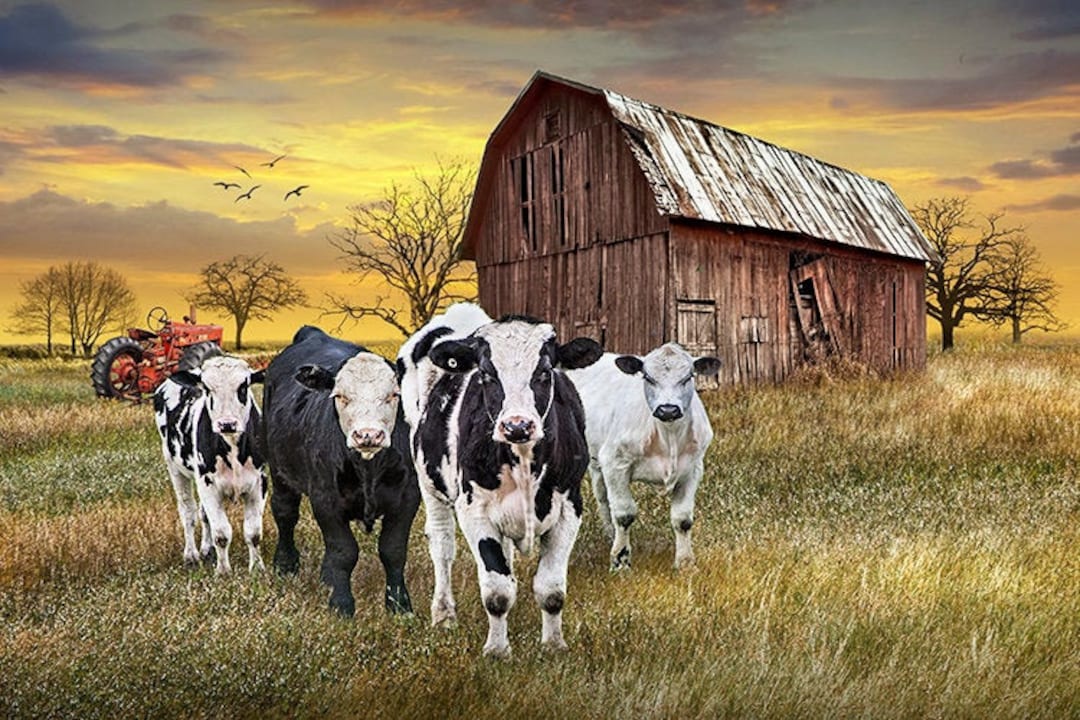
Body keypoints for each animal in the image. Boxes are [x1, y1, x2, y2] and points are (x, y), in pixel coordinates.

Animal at [153, 353, 267, 576]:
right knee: (188, 512)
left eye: (244, 386)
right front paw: (223, 571)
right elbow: (221, 533)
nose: (227, 424)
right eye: (206, 388)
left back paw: (207, 550)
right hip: (174, 468)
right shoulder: (208, 484)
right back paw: (191, 555)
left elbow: (254, 533)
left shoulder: (259, 483)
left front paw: (257, 568)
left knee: (204, 515)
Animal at [262, 326, 420, 616]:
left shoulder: (407, 498)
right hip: (279, 469)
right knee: (285, 513)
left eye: (394, 394)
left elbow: (393, 550)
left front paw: (399, 605)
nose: (368, 435)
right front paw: (342, 604)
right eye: (340, 396)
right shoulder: (326, 498)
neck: (368, 468)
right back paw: (285, 564)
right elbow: (344, 551)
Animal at [407, 310, 603, 657]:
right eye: (485, 374)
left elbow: (551, 590)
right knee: (442, 547)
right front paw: (497, 650)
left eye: (544, 372)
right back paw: (444, 615)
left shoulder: (570, 507)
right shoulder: (473, 509)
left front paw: (554, 646)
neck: (523, 460)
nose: (517, 426)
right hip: (429, 484)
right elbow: (496, 591)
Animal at [566, 342, 721, 571]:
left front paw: (685, 563)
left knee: (602, 497)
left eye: (688, 377)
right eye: (647, 377)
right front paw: (620, 562)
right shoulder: (615, 463)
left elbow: (683, 519)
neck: (668, 436)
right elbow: (624, 514)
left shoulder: (693, 469)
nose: (668, 409)